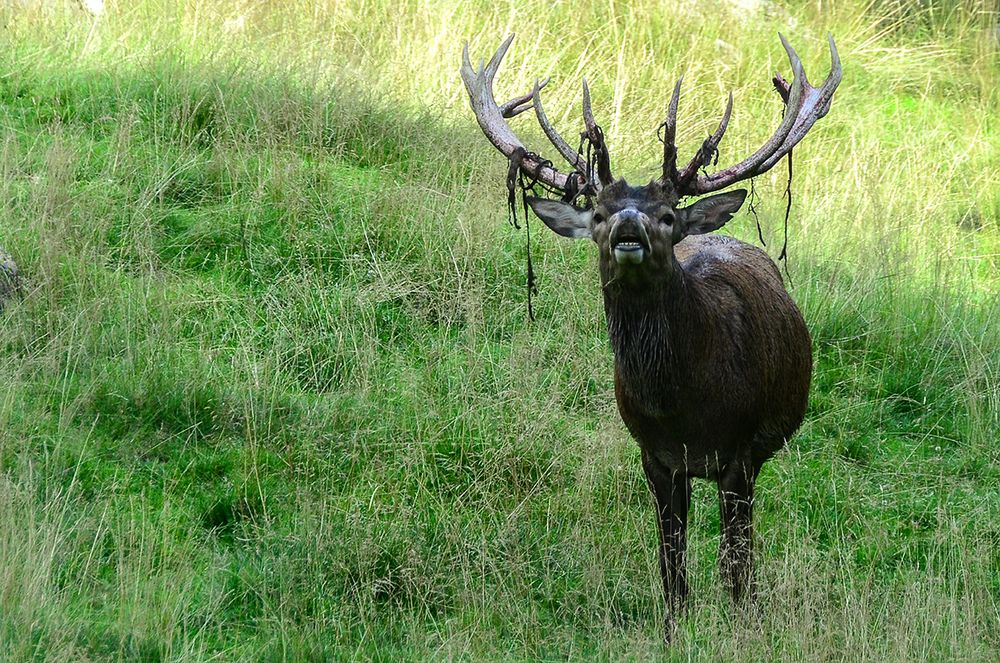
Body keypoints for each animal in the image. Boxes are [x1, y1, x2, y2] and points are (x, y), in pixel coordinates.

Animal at [460, 33, 841, 638]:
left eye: (666, 215)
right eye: (596, 214)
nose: (628, 227)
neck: (683, 407)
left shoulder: (740, 453)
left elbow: (735, 563)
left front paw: (741, 628)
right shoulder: (654, 454)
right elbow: (671, 559)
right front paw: (674, 628)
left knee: (743, 548)